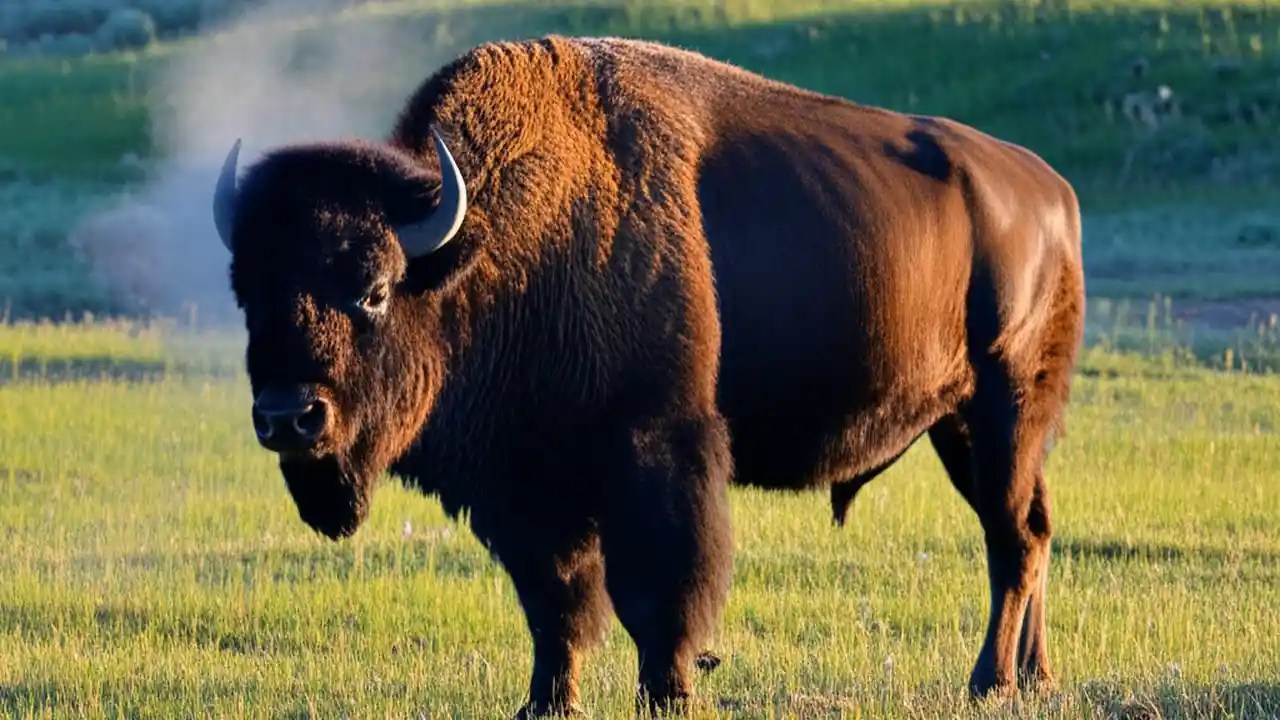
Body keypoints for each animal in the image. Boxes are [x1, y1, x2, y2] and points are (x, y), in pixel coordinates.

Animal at [211, 36, 1084, 716]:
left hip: (1005, 410)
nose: (288, 417)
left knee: (1010, 539)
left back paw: (988, 682)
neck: (492, 246)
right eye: (246, 293)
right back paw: (1035, 677)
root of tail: (1051, 192)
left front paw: (666, 695)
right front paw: (545, 703)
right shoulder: (524, 487)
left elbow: (655, 593)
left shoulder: (654, 450)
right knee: (1035, 529)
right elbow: (555, 602)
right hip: (962, 428)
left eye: (374, 289)